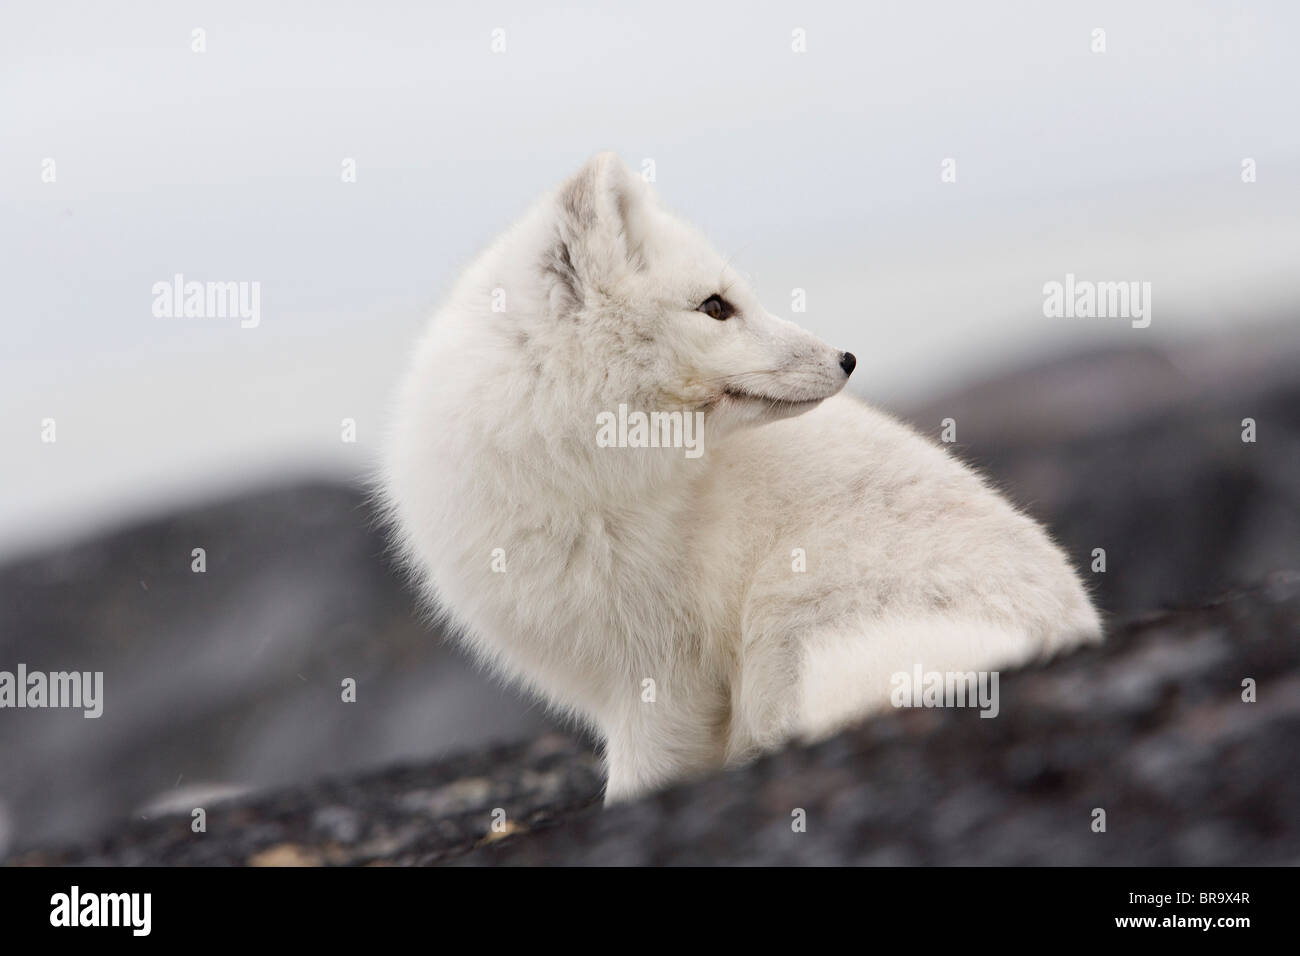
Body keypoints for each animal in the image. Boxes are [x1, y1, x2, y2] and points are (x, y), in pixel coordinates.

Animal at [381, 153, 1102, 803]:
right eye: (715, 308)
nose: (848, 358)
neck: (581, 480)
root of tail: (1076, 629)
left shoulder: (664, 675)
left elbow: (636, 782)